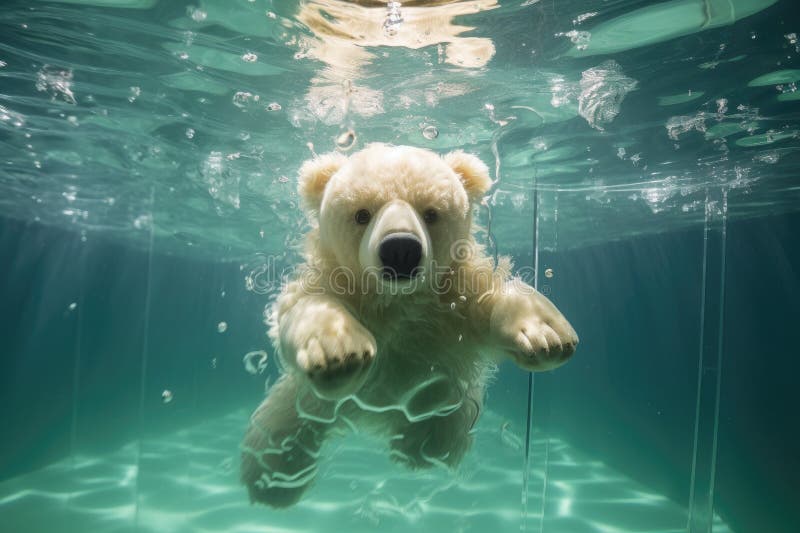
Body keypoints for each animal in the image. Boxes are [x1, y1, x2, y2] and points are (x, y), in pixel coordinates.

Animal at [240, 143, 578, 508]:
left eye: (431, 213)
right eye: (362, 214)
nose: (400, 249)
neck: (398, 303)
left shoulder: (455, 300)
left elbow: (493, 301)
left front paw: (545, 335)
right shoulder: (336, 284)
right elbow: (304, 307)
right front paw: (340, 350)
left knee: (439, 428)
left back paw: (420, 448)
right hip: (304, 401)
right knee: (278, 435)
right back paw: (272, 482)